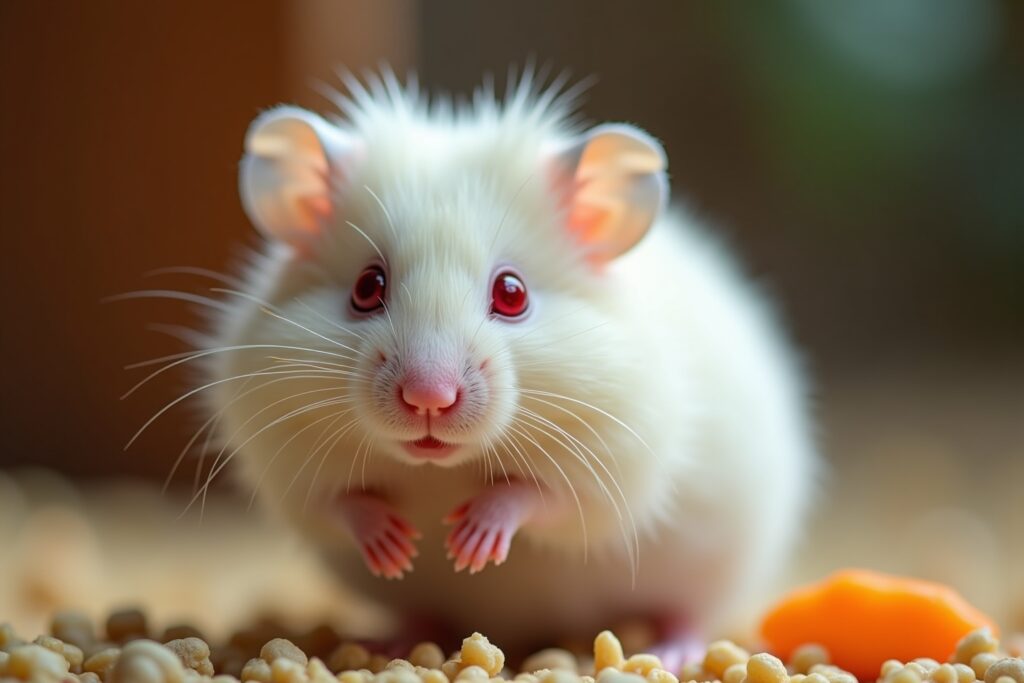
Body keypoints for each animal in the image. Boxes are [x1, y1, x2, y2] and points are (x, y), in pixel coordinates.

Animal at [200, 72, 817, 657]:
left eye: (512, 294)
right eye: (366, 287)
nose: (428, 399)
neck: (440, 469)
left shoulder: (612, 462)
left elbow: (540, 498)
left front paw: (471, 545)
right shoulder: (284, 460)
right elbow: (336, 504)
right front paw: (396, 546)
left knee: (685, 612)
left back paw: (674, 653)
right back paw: (394, 639)